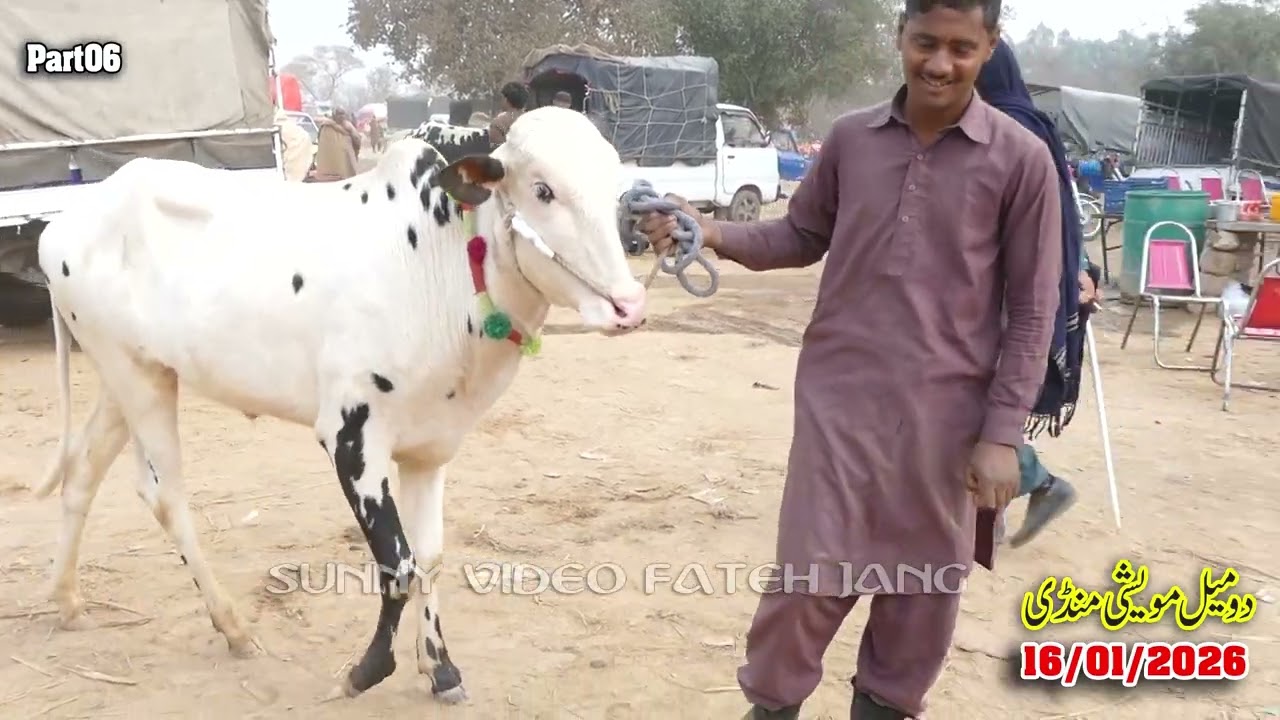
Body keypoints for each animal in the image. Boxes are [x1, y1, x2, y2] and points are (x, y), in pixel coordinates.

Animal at [32, 106, 646, 703]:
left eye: (615, 189)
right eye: (542, 190)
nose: (629, 306)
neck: (440, 262)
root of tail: (65, 222)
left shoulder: (430, 448)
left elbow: (429, 556)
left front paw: (440, 668)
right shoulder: (353, 437)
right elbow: (398, 563)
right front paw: (367, 669)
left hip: (133, 376)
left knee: (82, 471)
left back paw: (66, 599)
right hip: (137, 380)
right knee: (165, 497)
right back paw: (232, 625)